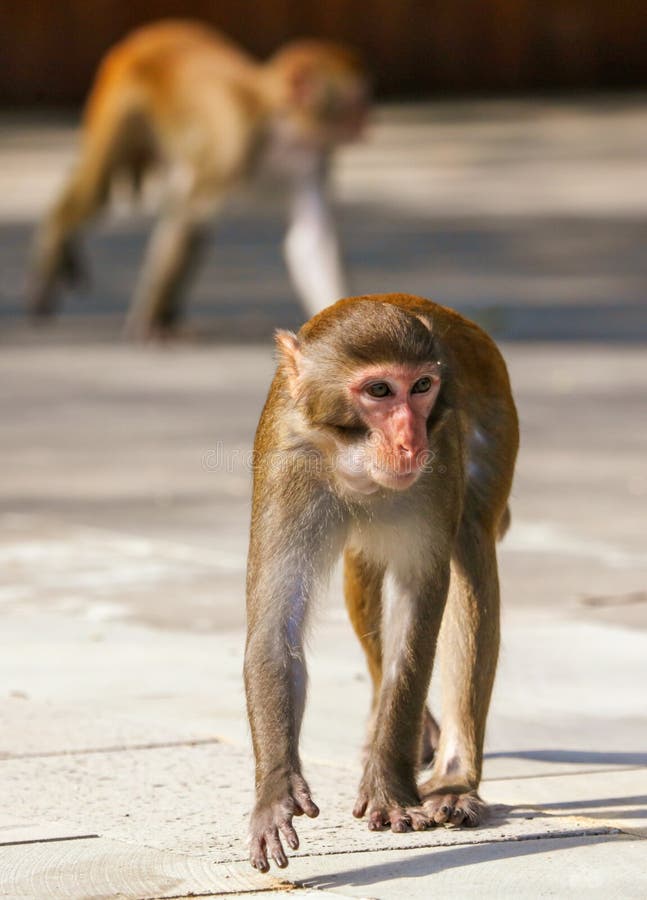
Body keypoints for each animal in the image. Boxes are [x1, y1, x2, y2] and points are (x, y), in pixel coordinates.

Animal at [28, 20, 369, 338]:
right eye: (355, 102)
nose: (366, 119)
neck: (283, 128)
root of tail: (148, 36)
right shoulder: (230, 143)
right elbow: (187, 218)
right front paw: (148, 321)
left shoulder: (314, 156)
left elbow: (311, 237)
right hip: (120, 92)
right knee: (105, 192)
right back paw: (57, 242)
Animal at [244, 293, 519, 873]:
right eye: (378, 391)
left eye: (421, 387)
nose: (410, 441)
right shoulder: (285, 465)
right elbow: (276, 625)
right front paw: (276, 791)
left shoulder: (439, 464)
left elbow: (419, 614)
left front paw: (391, 790)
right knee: (363, 571)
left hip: (492, 419)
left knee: (472, 544)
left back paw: (454, 780)